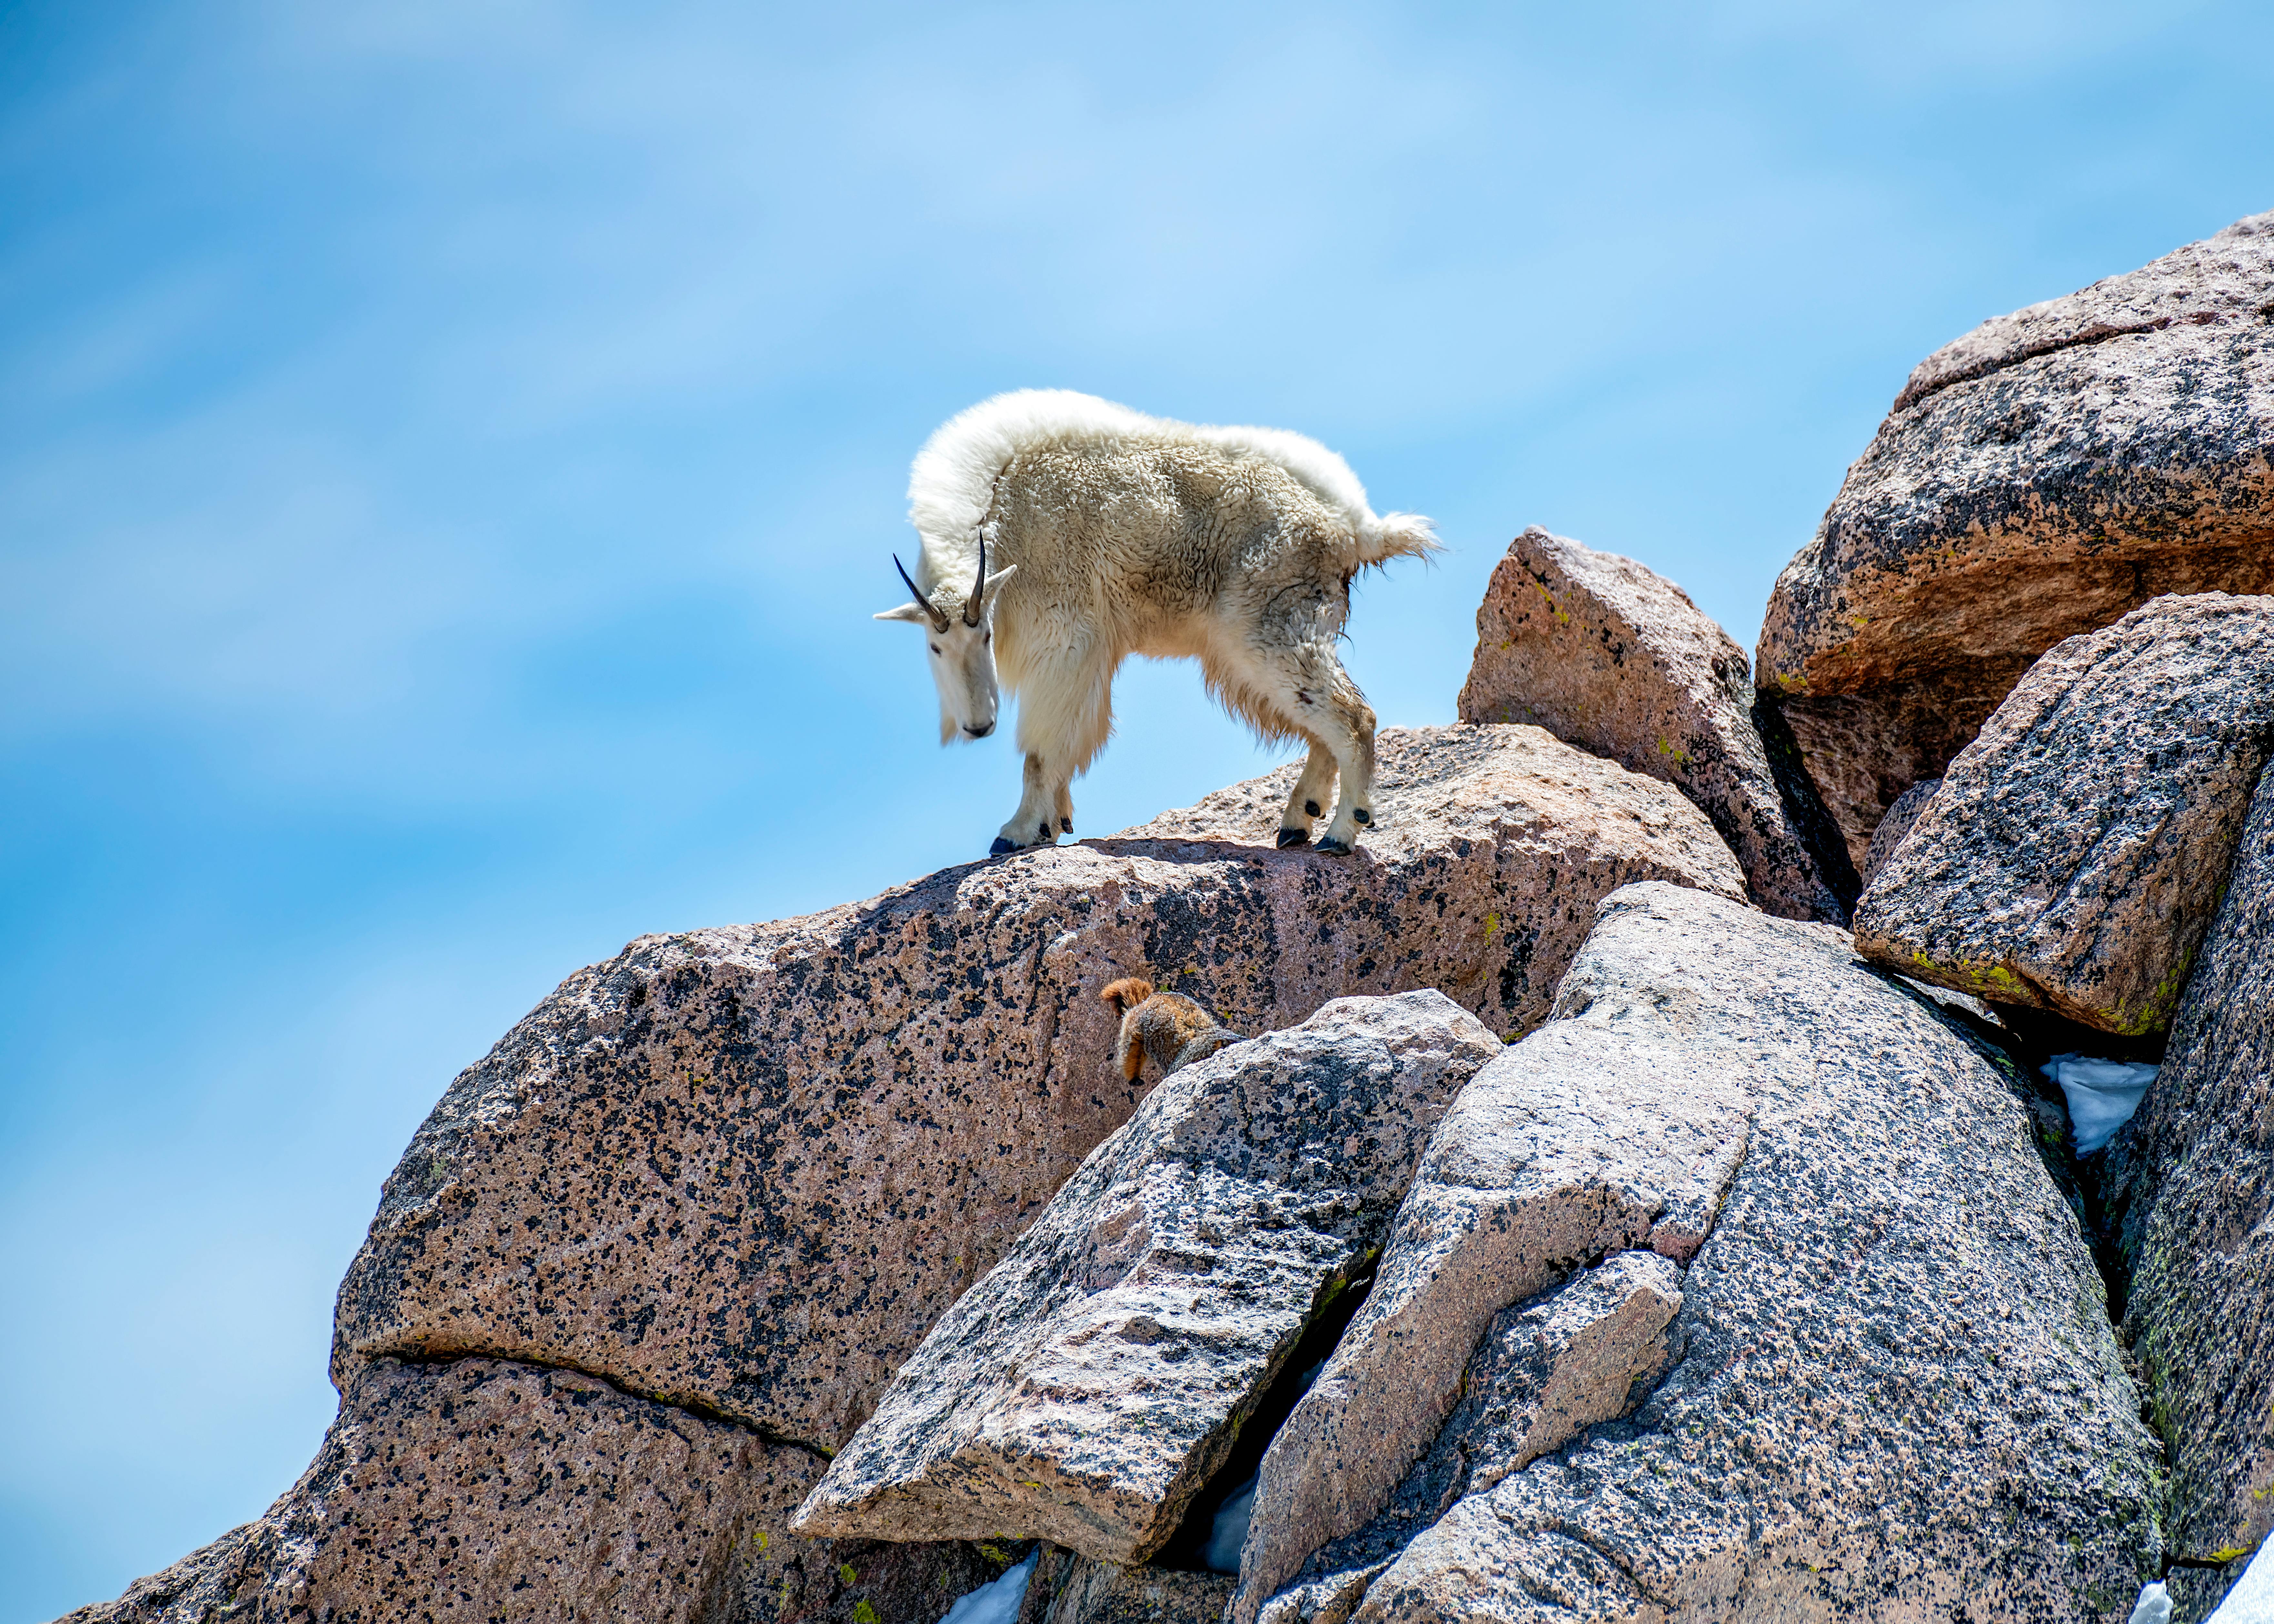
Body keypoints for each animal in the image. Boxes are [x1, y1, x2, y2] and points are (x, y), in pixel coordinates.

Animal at [874, 390, 1437, 854]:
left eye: (986, 634)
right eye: (934, 648)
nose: (979, 725)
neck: (1005, 512)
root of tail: (1351, 529)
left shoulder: (1064, 639)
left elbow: (1042, 748)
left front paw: (1015, 833)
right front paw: (1054, 824)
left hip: (1267, 623)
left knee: (1351, 715)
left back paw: (1340, 833)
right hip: (1254, 642)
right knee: (1322, 720)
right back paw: (1299, 822)